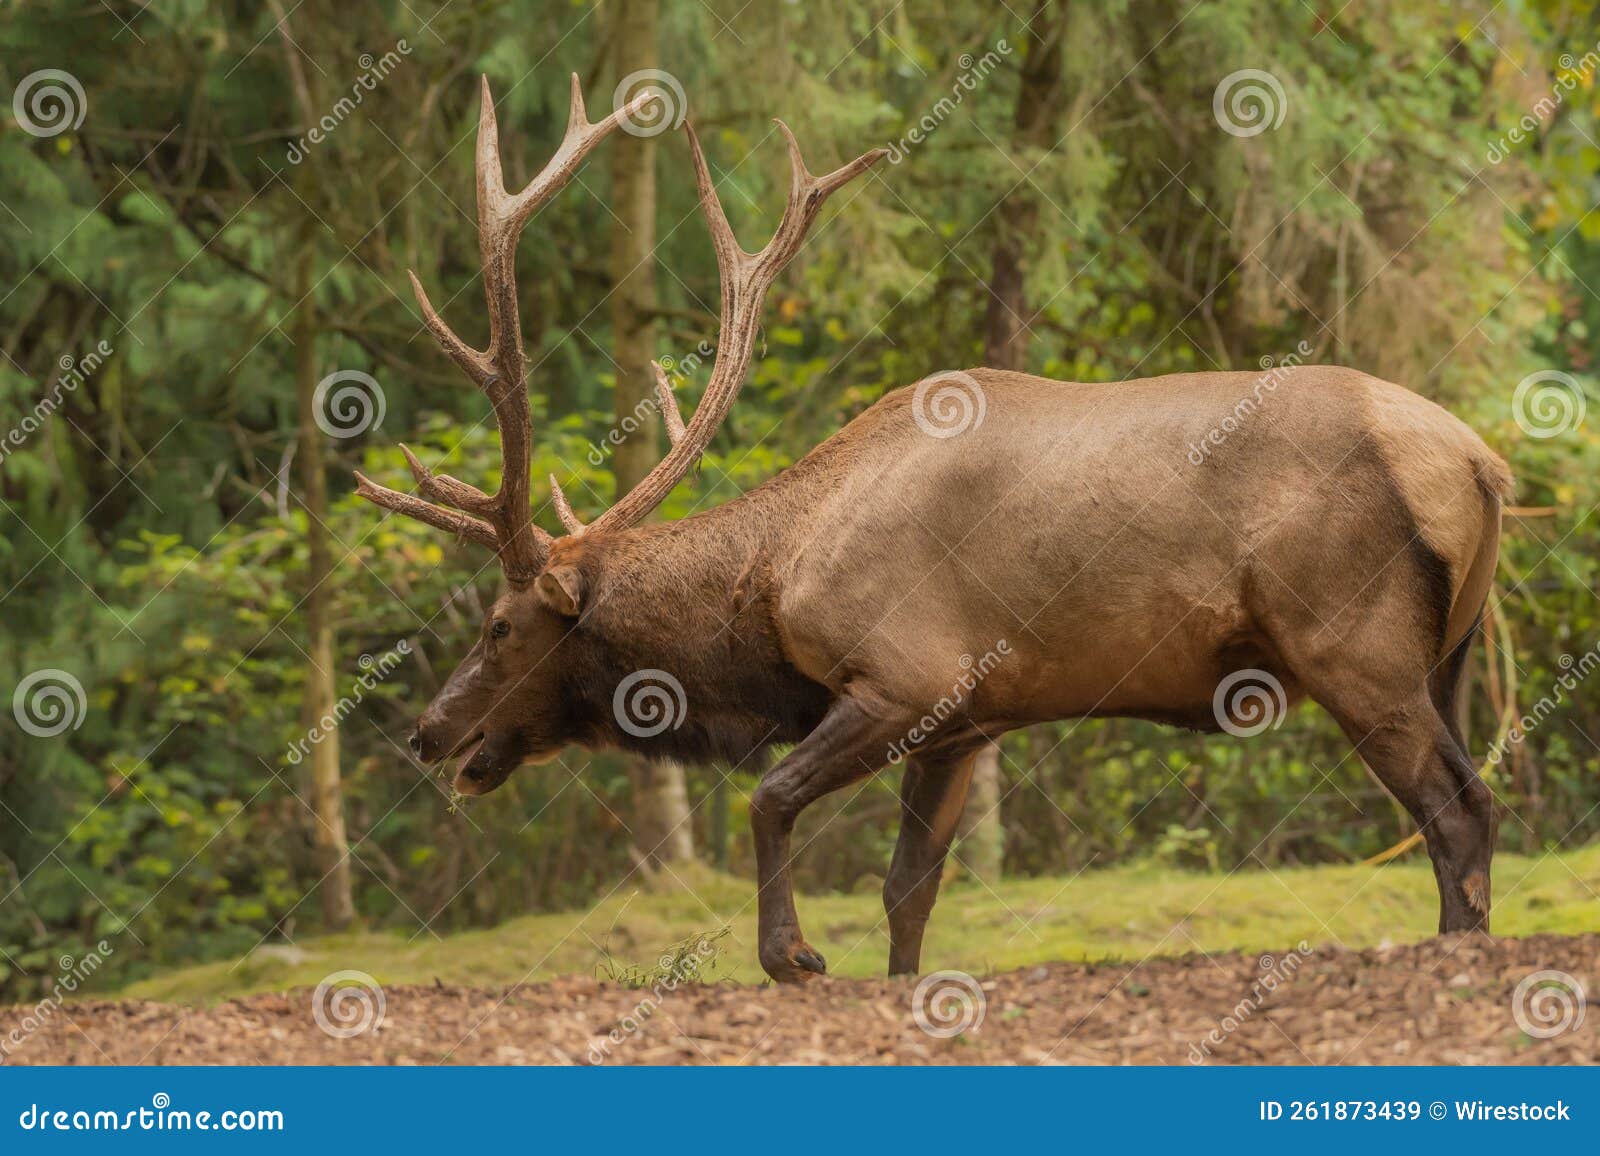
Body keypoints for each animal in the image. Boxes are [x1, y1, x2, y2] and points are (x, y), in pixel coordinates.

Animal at [359, 73, 1512, 984]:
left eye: (500, 625)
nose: (427, 732)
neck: (770, 593)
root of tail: (1480, 462)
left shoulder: (905, 675)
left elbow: (771, 797)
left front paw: (791, 955)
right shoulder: (967, 723)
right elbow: (908, 888)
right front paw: (896, 984)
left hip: (1350, 640)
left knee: (1452, 807)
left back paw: (1452, 956)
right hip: (1446, 652)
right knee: (1477, 797)